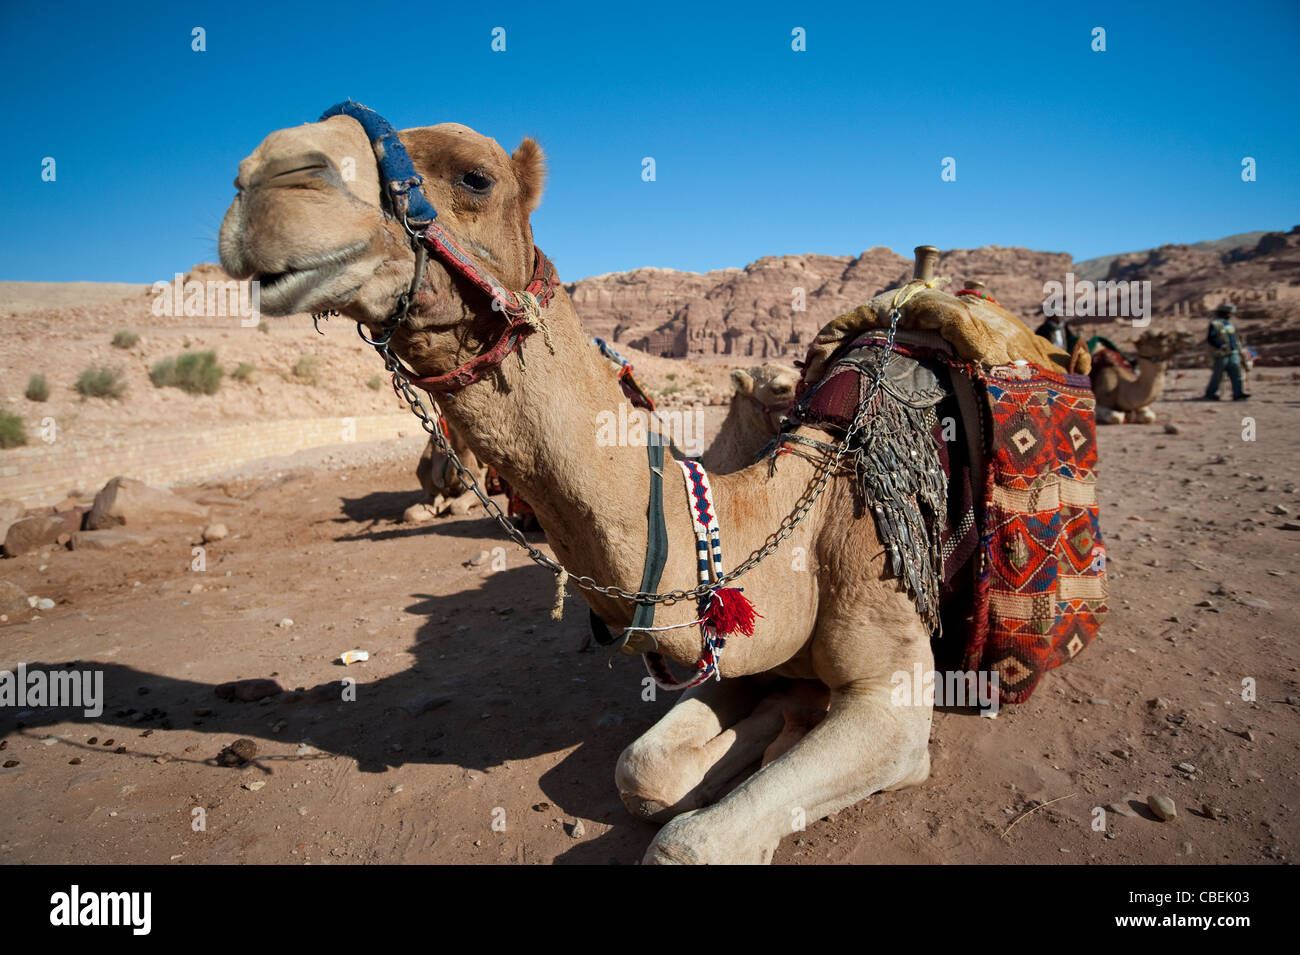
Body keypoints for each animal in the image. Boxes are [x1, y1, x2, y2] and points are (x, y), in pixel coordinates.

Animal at [218, 110, 1085, 864]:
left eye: (475, 176)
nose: (264, 179)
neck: (786, 516)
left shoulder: (892, 682)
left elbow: (686, 842)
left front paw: (771, 749)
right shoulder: (740, 652)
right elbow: (642, 771)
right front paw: (771, 725)